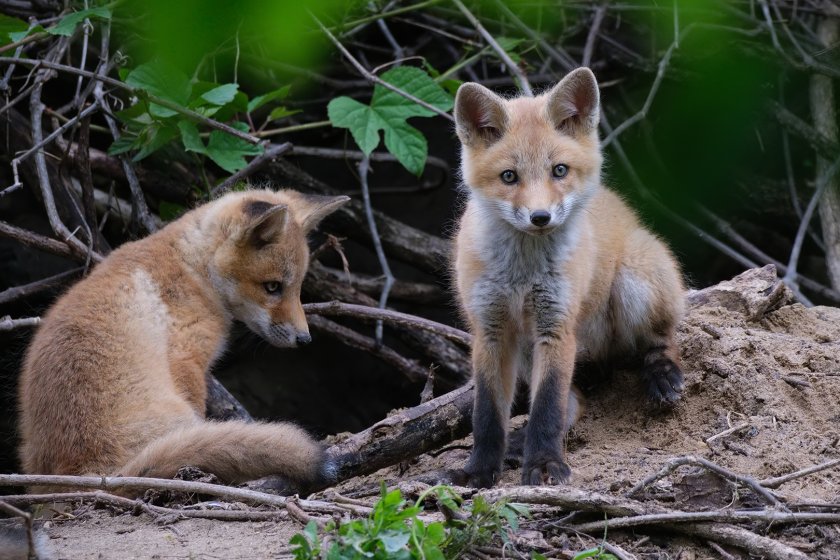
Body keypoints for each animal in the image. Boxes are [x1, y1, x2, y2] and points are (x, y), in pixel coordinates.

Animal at [18, 188, 349, 491]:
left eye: (298, 288)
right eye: (272, 287)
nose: (304, 339)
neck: (193, 268)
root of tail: (89, 475)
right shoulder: (185, 357)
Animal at [452, 67, 685, 488]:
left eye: (559, 170)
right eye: (509, 177)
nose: (540, 217)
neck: (522, 273)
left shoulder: (556, 325)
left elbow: (547, 406)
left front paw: (545, 464)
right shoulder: (489, 330)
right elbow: (488, 415)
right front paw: (479, 470)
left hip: (636, 280)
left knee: (659, 340)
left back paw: (662, 373)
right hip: (526, 346)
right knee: (575, 402)